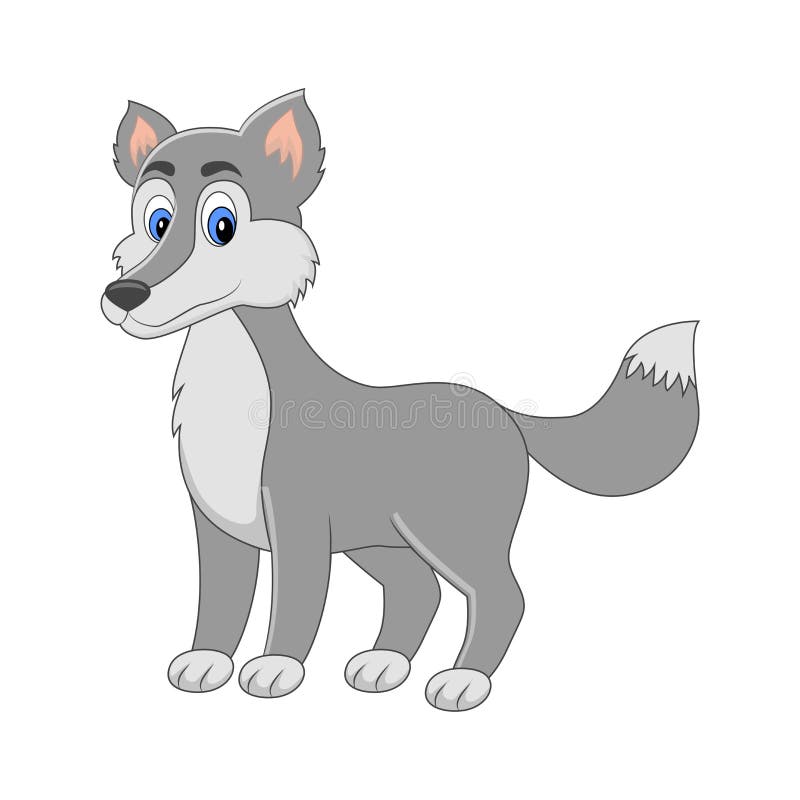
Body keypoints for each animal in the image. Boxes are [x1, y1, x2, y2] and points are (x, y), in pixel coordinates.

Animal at [102, 90, 700, 711]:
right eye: (157, 222)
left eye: (222, 225)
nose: (124, 294)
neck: (231, 390)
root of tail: (503, 411)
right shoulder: (214, 527)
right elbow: (219, 603)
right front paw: (206, 662)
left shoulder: (298, 521)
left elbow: (295, 603)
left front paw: (276, 668)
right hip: (382, 539)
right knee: (419, 591)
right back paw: (384, 664)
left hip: (449, 533)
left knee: (502, 595)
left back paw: (463, 680)